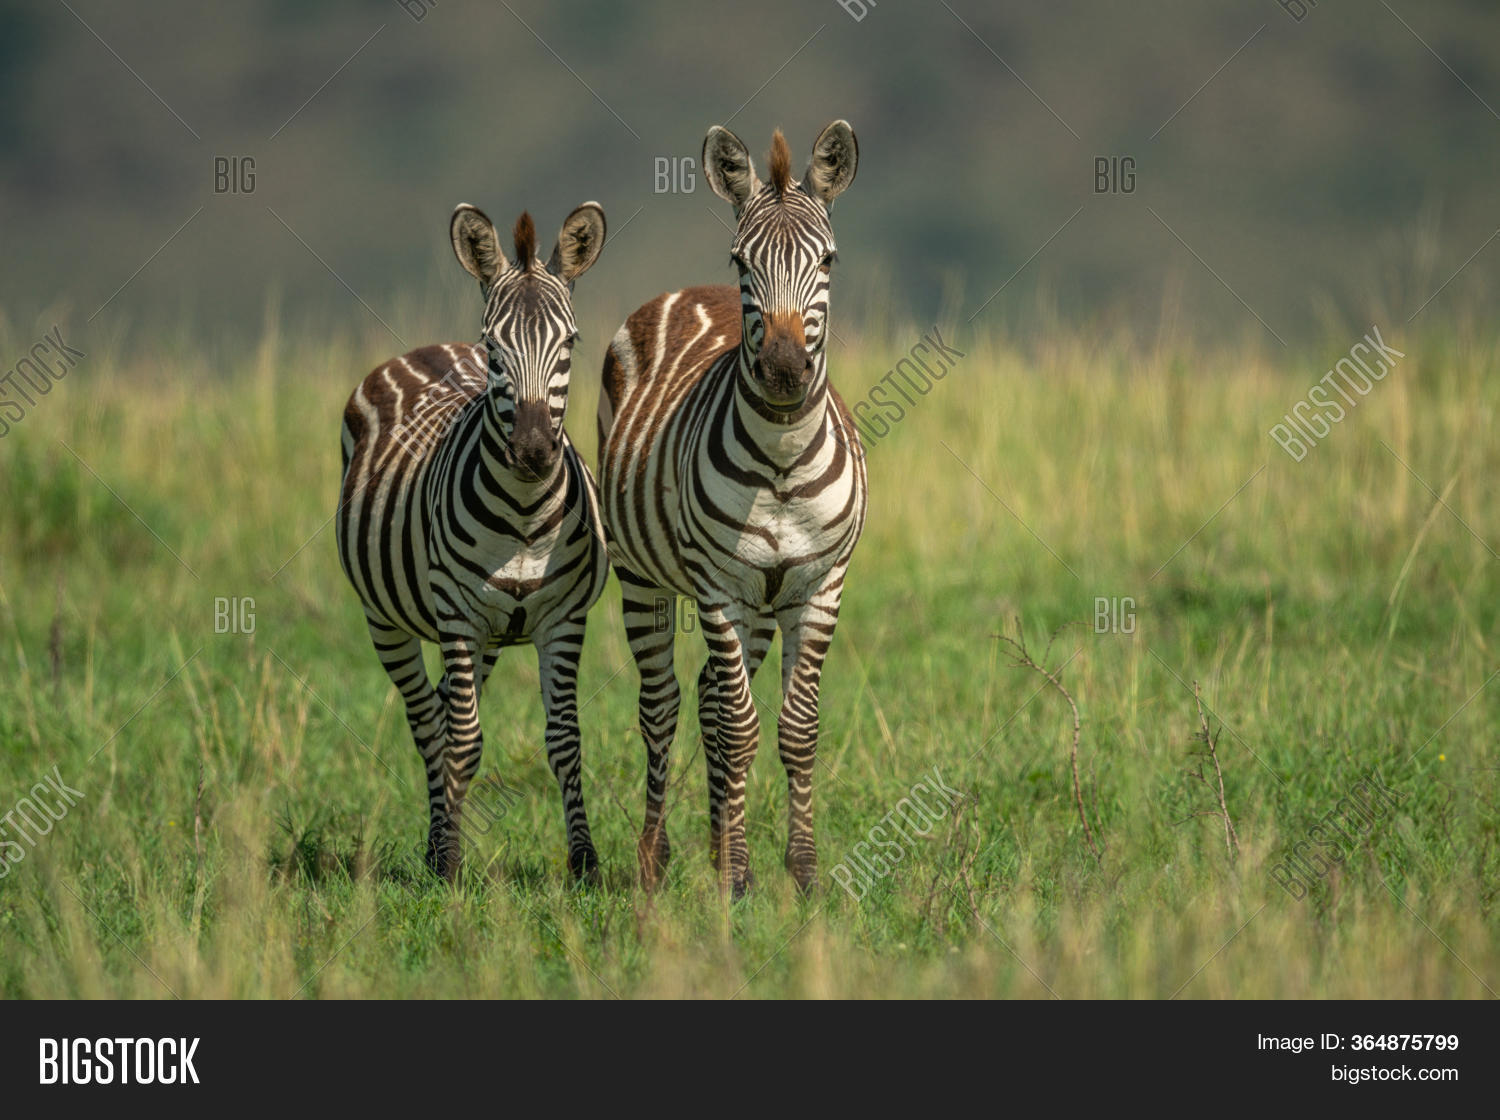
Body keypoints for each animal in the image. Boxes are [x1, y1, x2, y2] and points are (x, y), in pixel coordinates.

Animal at [337, 201, 609, 883]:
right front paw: (453, 867)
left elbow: (565, 739)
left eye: (570, 343)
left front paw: (585, 862)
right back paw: (438, 850)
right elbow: (462, 742)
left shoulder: (563, 619)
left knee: (442, 710)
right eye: (494, 348)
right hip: (387, 617)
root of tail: (431, 348)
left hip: (487, 637)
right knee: (429, 723)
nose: (534, 452)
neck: (525, 515)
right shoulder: (457, 615)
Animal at [597, 122, 865, 896]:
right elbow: (742, 728)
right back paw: (656, 859)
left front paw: (798, 872)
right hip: (644, 578)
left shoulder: (819, 585)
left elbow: (795, 728)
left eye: (829, 259)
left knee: (714, 699)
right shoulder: (718, 587)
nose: (782, 370)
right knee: (664, 705)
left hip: (761, 603)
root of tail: (690, 291)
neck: (780, 462)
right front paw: (738, 877)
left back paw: (719, 846)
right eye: (743, 260)